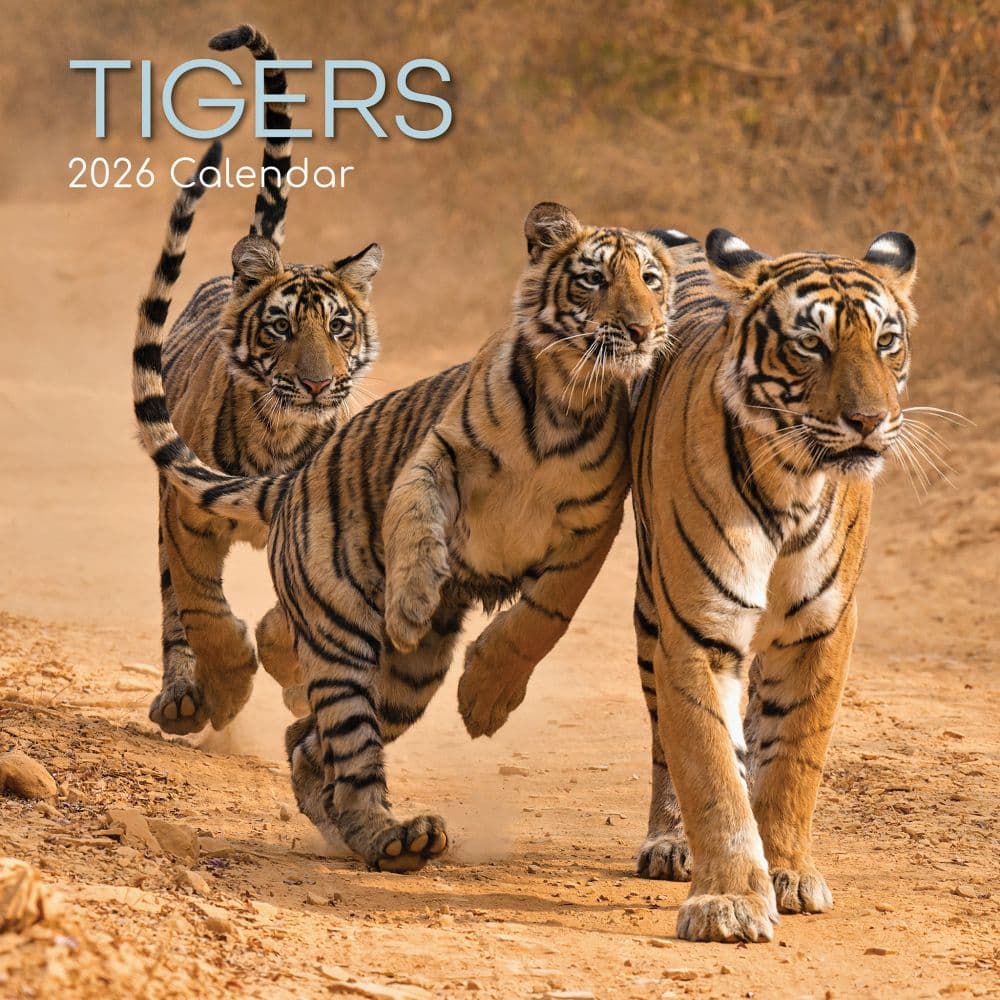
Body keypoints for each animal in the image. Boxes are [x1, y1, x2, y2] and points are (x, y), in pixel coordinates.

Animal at [133, 187, 680, 872]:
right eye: (595, 279)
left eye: (651, 281)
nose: (640, 329)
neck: (567, 397)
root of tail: (291, 484)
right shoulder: (438, 450)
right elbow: (415, 515)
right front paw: (413, 600)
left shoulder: (594, 524)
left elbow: (545, 613)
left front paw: (487, 696)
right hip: (342, 641)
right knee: (342, 745)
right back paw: (392, 836)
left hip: (406, 682)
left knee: (310, 745)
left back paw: (376, 833)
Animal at [148, 24, 382, 737]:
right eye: (281, 328)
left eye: (339, 328)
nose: (316, 386)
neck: (281, 434)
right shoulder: (187, 515)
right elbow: (204, 612)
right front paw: (227, 690)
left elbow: (293, 621)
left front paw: (291, 677)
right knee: (173, 606)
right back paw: (183, 698)